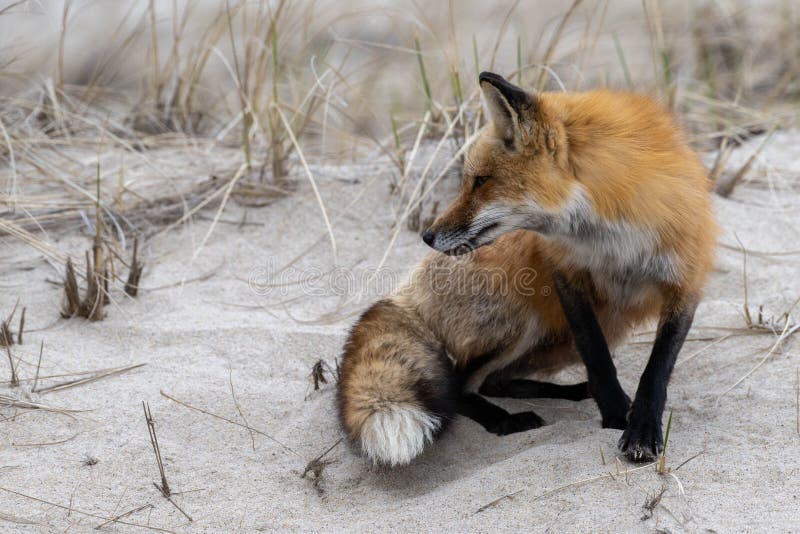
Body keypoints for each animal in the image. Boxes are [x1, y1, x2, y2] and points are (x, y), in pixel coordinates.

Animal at [337, 71, 717, 467]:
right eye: (470, 180)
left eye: (481, 181)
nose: (427, 236)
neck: (613, 239)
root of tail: (405, 292)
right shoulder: (566, 273)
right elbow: (596, 355)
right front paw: (614, 413)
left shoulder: (685, 281)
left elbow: (656, 369)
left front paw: (641, 427)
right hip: (522, 321)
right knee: (459, 384)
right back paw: (504, 419)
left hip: (590, 329)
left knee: (495, 381)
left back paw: (571, 392)